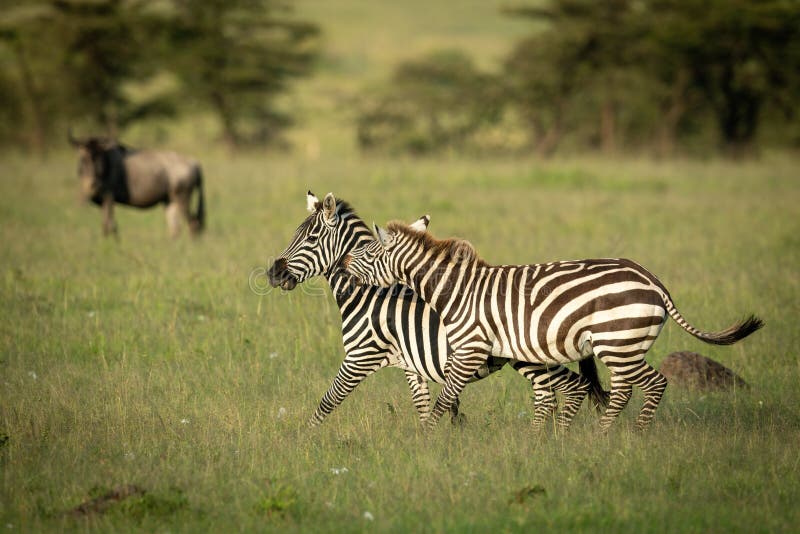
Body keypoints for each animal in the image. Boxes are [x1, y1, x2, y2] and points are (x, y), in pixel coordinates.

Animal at [266, 192, 608, 427]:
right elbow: (423, 406)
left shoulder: (361, 356)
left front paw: (304, 442)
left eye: (310, 238)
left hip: (528, 356)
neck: (369, 295)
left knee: (564, 388)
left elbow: (327, 402)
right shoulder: (410, 365)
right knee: (550, 392)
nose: (273, 273)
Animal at [343, 220, 764, 431]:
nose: (343, 267)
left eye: (367, 253)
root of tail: (652, 280)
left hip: (618, 341)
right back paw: (604, 435)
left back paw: (619, 436)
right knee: (625, 389)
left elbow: (445, 398)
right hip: (624, 345)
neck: (457, 290)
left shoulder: (470, 350)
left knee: (652, 384)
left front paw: (428, 439)